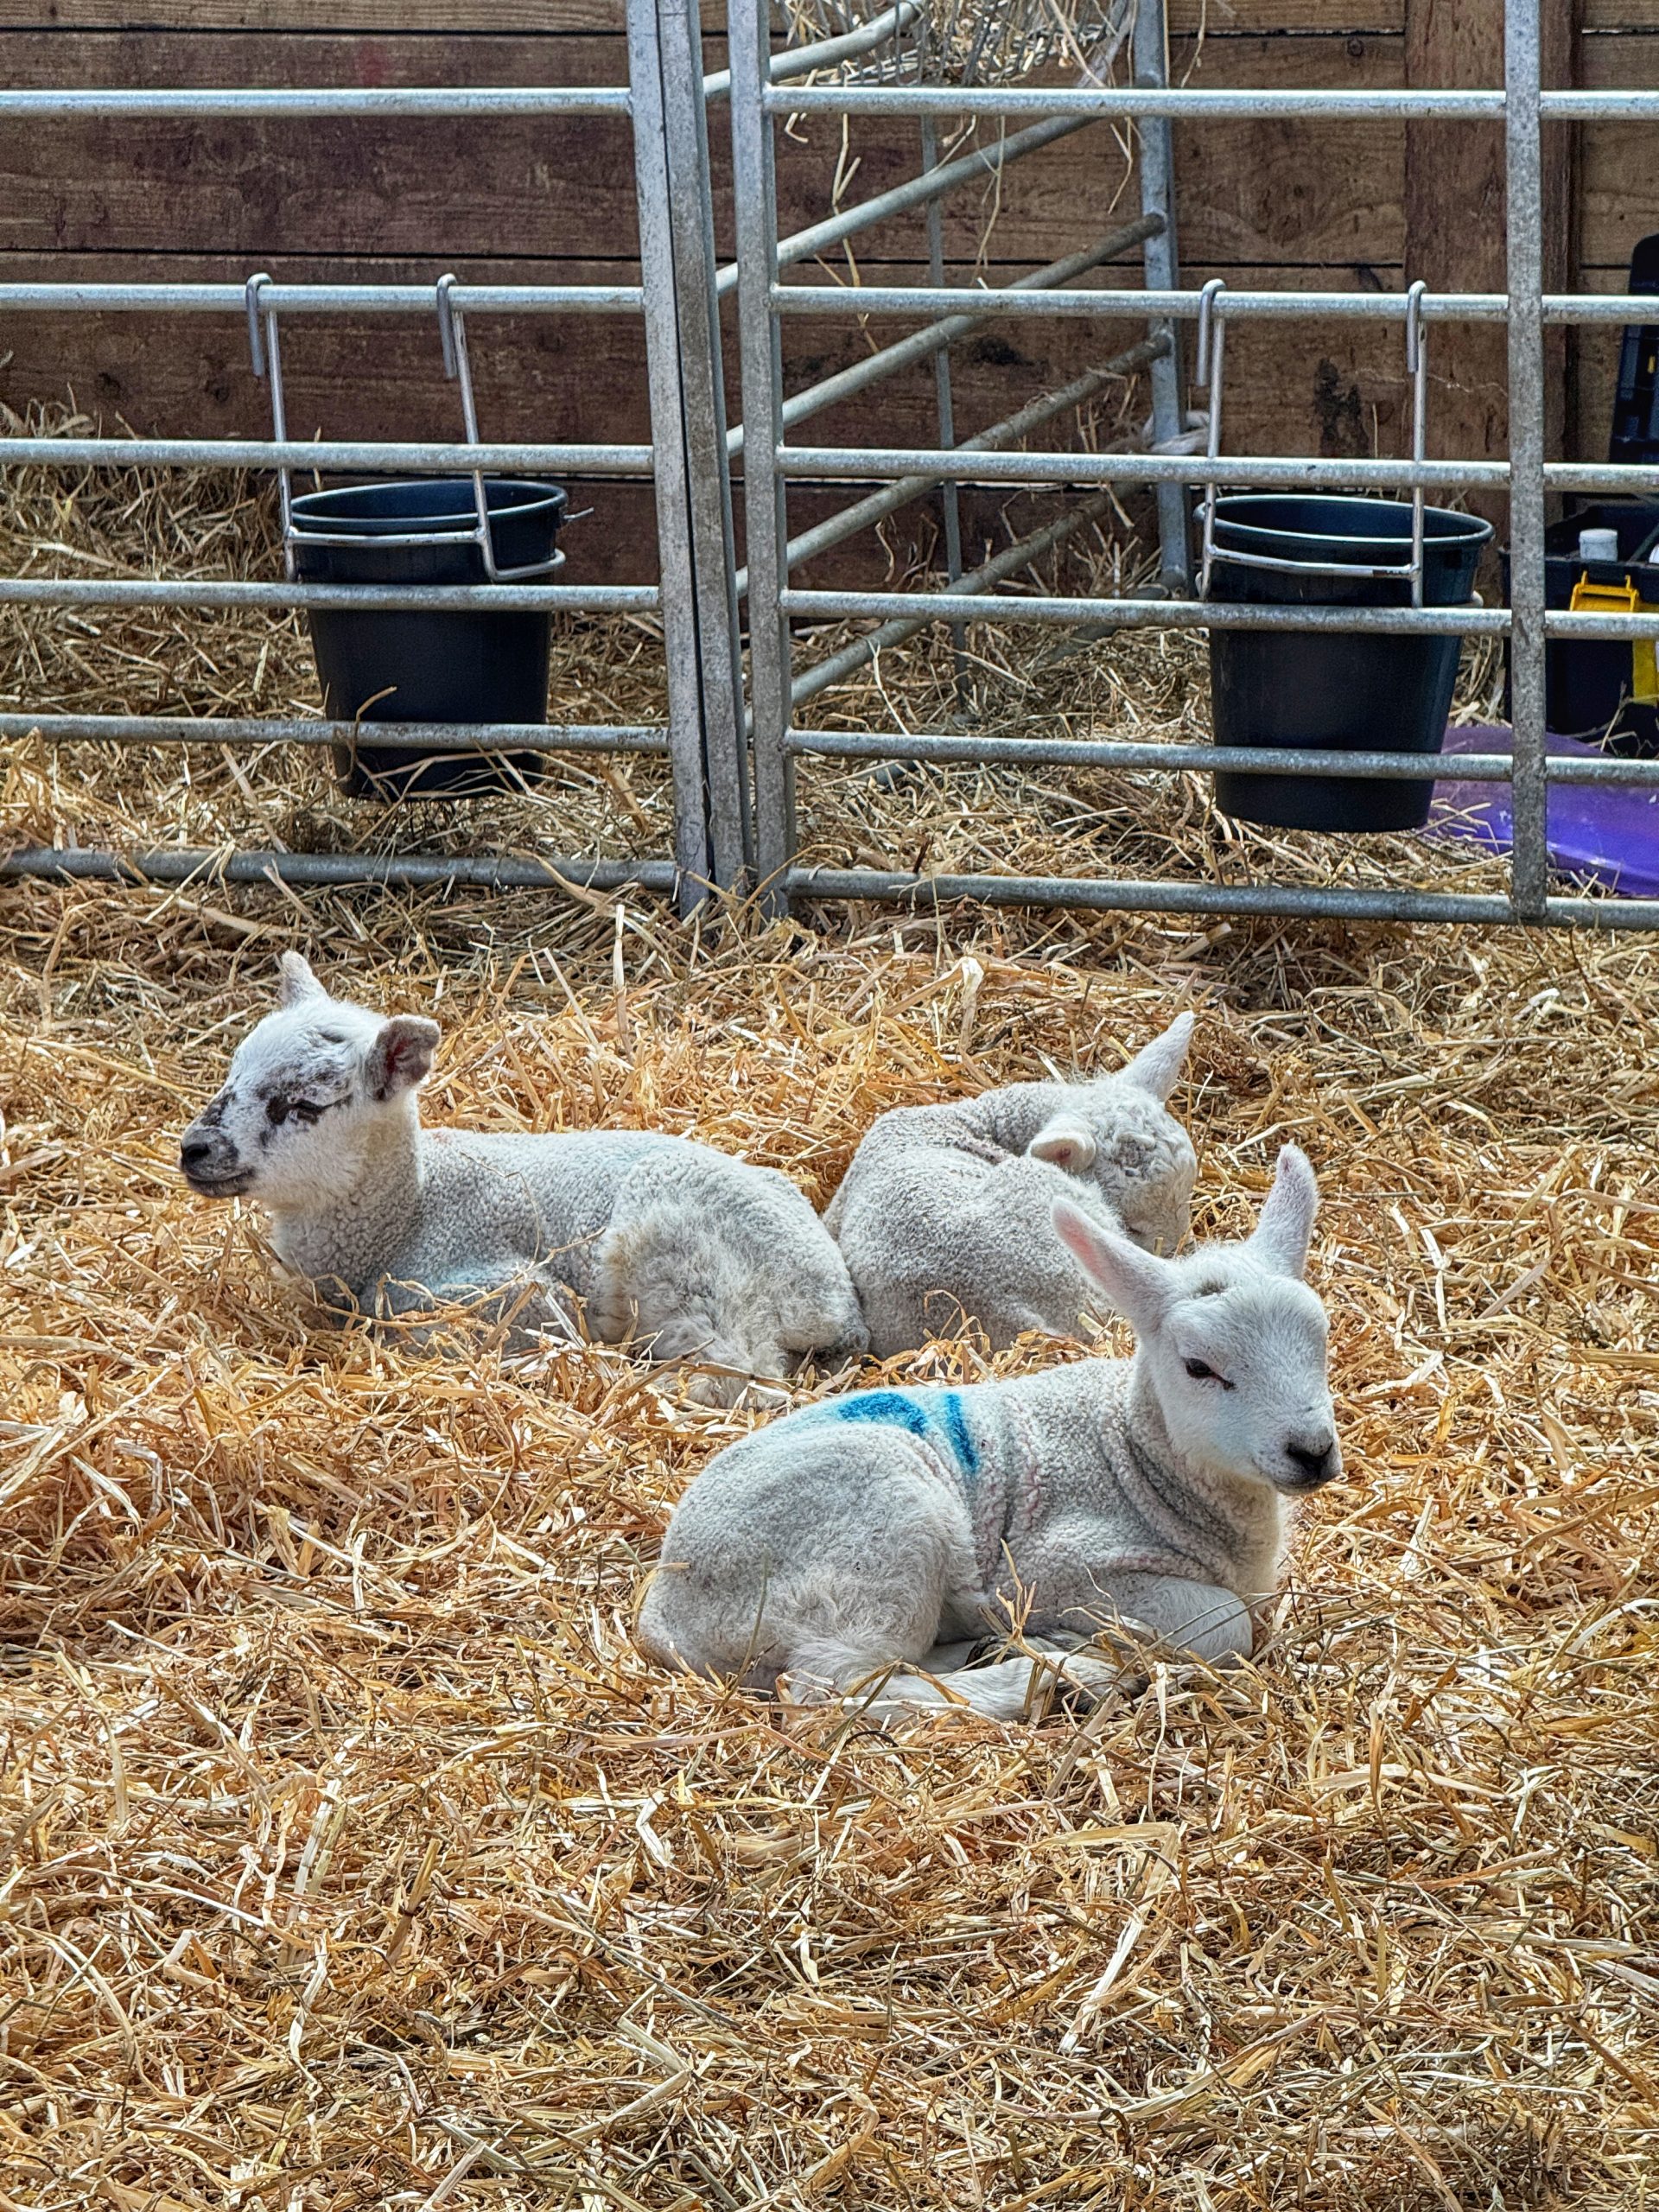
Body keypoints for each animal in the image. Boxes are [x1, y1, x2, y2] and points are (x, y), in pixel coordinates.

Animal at [178, 951, 868, 1404]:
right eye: (232, 1071)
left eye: (304, 1104)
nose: (194, 1149)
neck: (405, 1212)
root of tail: (837, 1301)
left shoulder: (500, 1288)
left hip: (687, 1258)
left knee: (746, 1375)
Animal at [637, 1145, 1340, 1719]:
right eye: (1199, 1367)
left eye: (1322, 1336)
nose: (1312, 1452)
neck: (1138, 1453)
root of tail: (665, 1608)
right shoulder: (1056, 1568)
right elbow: (1228, 1626)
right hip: (880, 1534)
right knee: (831, 1688)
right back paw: (1058, 1676)